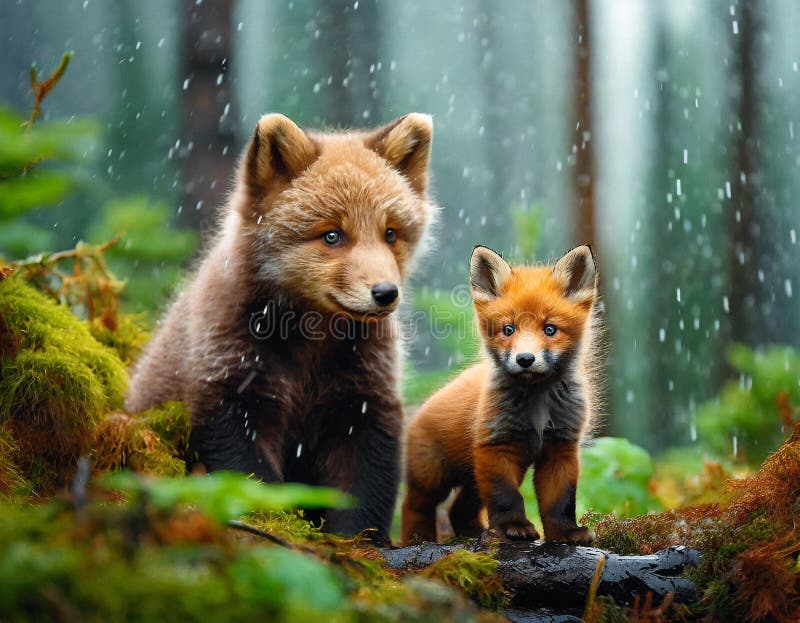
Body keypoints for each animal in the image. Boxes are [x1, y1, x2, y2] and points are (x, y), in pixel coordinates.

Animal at [126, 112, 436, 540]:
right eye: (332, 235)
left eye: (390, 232)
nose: (385, 292)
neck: (309, 354)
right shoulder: (232, 383)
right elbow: (253, 478)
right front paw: (278, 526)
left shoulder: (362, 395)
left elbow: (362, 488)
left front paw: (357, 540)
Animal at [401, 245, 601, 545]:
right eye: (509, 329)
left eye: (550, 329)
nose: (525, 359)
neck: (537, 403)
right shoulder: (496, 446)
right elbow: (506, 497)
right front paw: (513, 528)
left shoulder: (560, 449)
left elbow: (561, 501)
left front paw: (565, 533)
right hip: (433, 478)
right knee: (415, 507)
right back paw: (417, 539)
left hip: (474, 477)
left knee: (458, 510)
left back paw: (474, 534)